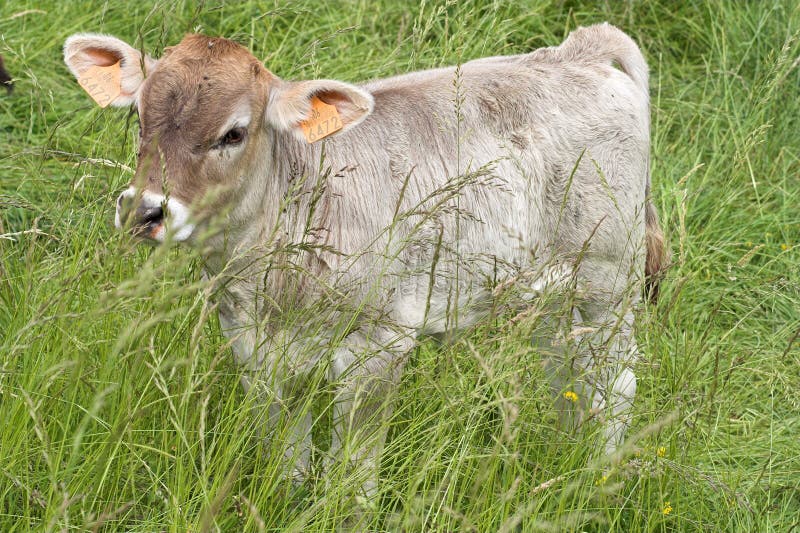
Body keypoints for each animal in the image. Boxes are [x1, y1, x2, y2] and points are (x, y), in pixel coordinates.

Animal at [64, 23, 666, 498]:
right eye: (139, 116)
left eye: (233, 133)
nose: (144, 211)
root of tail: (578, 50)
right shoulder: (254, 348)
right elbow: (287, 455)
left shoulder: (379, 346)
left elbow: (353, 472)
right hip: (552, 298)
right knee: (565, 376)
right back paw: (565, 456)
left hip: (609, 284)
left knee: (616, 384)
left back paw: (601, 475)